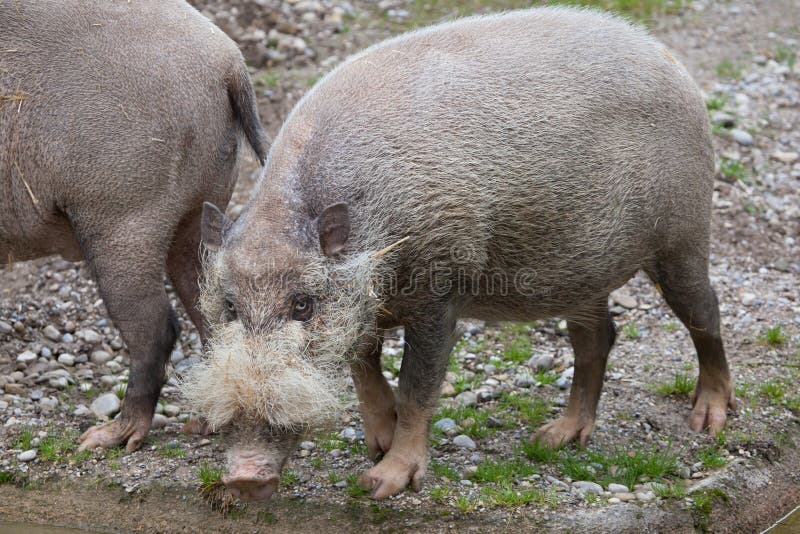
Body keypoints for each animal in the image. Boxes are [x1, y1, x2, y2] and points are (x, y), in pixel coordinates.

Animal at [0, 0, 268, 452]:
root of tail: (229, 62)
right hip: (196, 212)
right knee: (211, 304)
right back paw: (205, 423)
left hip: (122, 217)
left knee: (157, 326)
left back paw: (108, 437)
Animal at [182, 7, 735, 501]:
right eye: (228, 307)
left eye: (302, 305)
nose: (245, 477)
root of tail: (671, 63)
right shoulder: (364, 305)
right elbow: (365, 371)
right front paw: (376, 448)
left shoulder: (439, 292)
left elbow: (417, 387)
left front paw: (380, 484)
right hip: (583, 275)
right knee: (597, 337)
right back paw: (552, 439)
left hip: (684, 235)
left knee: (705, 312)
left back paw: (707, 422)